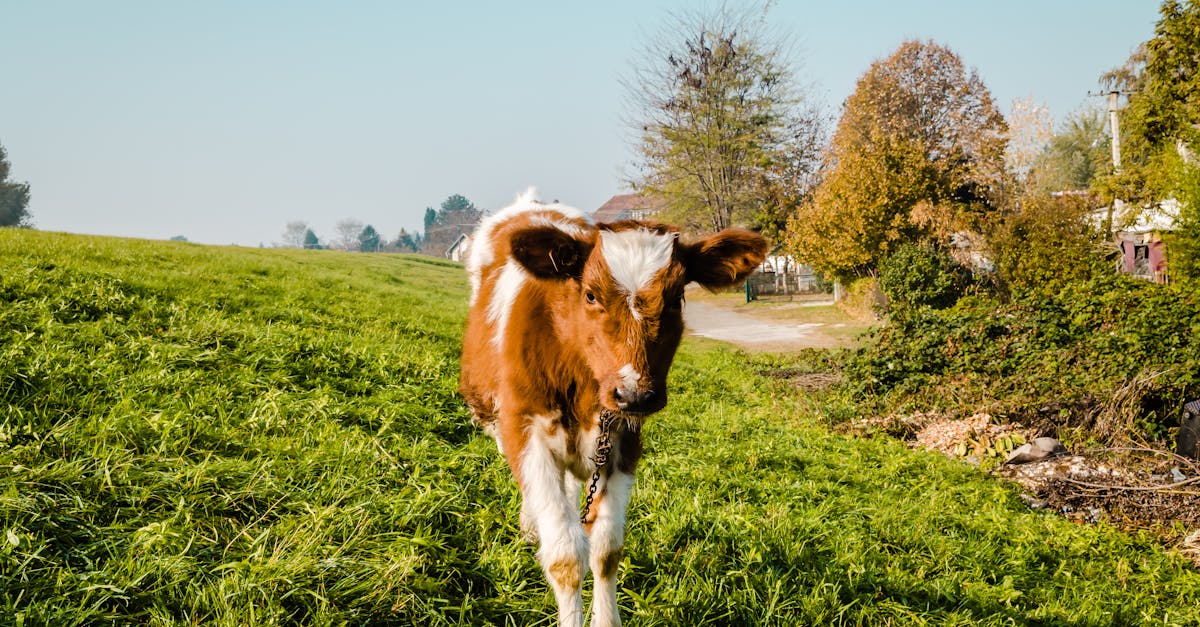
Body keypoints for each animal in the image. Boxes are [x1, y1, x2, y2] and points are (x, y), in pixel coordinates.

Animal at [453, 189, 763, 624]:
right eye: (590, 294)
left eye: (677, 298)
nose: (634, 395)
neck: (583, 387)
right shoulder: (525, 431)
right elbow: (565, 555)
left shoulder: (623, 443)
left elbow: (606, 549)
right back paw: (531, 523)